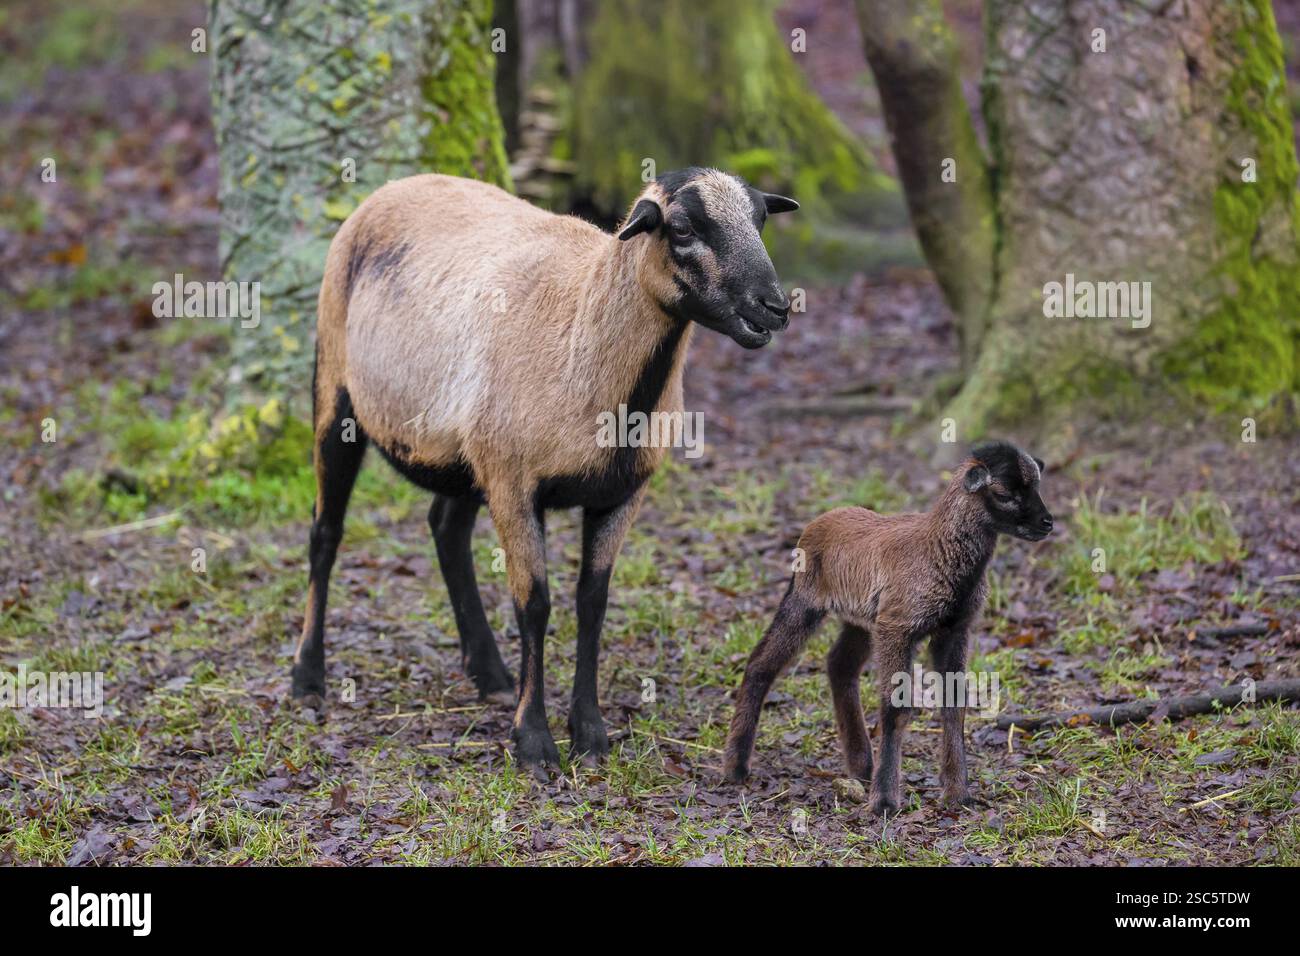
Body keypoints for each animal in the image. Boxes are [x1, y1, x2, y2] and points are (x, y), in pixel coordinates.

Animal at [291, 167, 799, 775]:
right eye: (681, 229)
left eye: (761, 219)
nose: (775, 307)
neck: (583, 334)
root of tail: (398, 182)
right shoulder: (515, 484)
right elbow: (534, 604)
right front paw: (534, 741)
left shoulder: (621, 494)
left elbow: (592, 602)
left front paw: (590, 732)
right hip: (336, 389)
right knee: (326, 532)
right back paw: (307, 677)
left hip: (469, 451)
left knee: (446, 529)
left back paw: (490, 673)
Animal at [722, 440, 1053, 814]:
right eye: (1003, 493)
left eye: (1037, 485)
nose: (1047, 523)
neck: (939, 550)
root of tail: (822, 518)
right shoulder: (898, 628)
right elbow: (895, 707)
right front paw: (884, 801)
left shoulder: (953, 630)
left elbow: (954, 703)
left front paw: (958, 794)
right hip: (805, 601)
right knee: (762, 662)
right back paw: (736, 767)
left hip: (861, 620)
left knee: (839, 665)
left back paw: (862, 766)